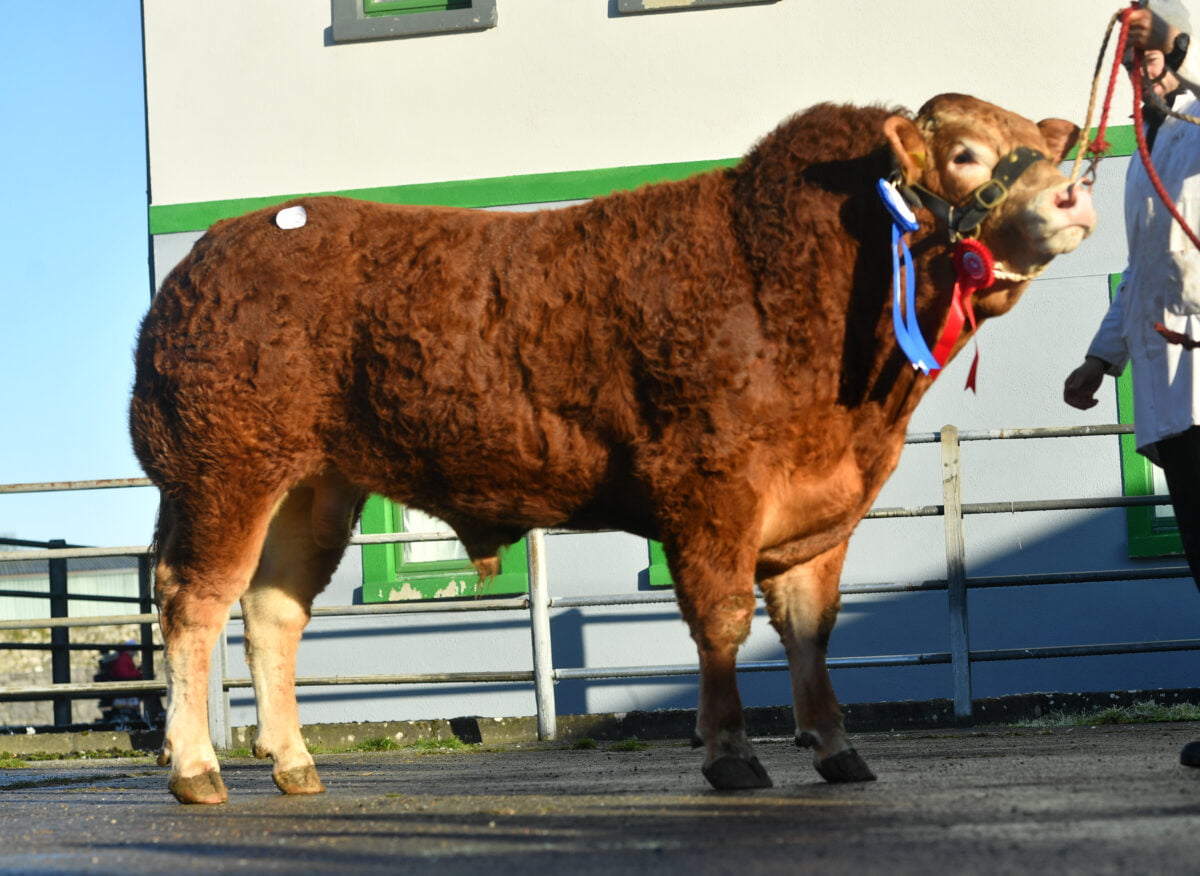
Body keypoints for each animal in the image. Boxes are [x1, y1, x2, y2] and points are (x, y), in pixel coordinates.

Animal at [130, 93, 1095, 804]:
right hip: (222, 473)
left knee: (273, 610)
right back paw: (196, 768)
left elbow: (810, 632)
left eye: (1040, 141)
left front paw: (835, 747)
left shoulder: (819, 512)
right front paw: (731, 752)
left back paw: (294, 763)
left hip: (313, 488)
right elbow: (722, 623)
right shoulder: (711, 489)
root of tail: (214, 252)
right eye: (965, 153)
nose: (1074, 194)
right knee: (194, 602)